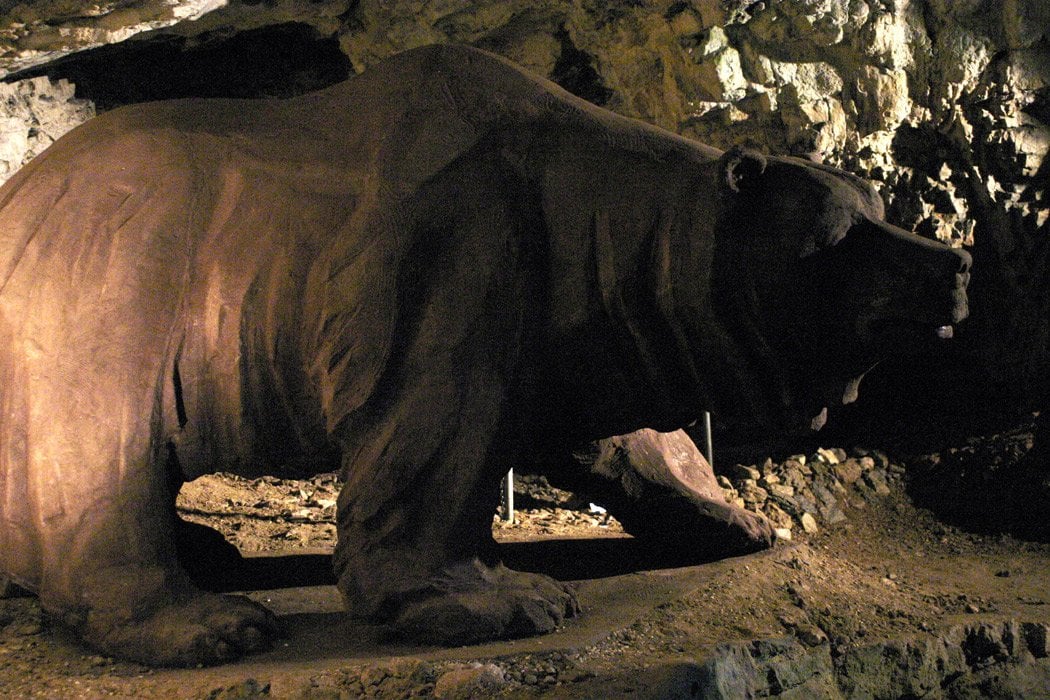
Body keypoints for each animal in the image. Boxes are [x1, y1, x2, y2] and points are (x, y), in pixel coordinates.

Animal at [0, 44, 970, 665]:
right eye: (843, 236)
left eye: (879, 205)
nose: (953, 263)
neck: (600, 220)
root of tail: (20, 194)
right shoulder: (452, 257)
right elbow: (432, 436)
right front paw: (507, 598)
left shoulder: (582, 325)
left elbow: (628, 436)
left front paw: (732, 516)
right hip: (113, 280)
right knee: (101, 445)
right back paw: (208, 622)